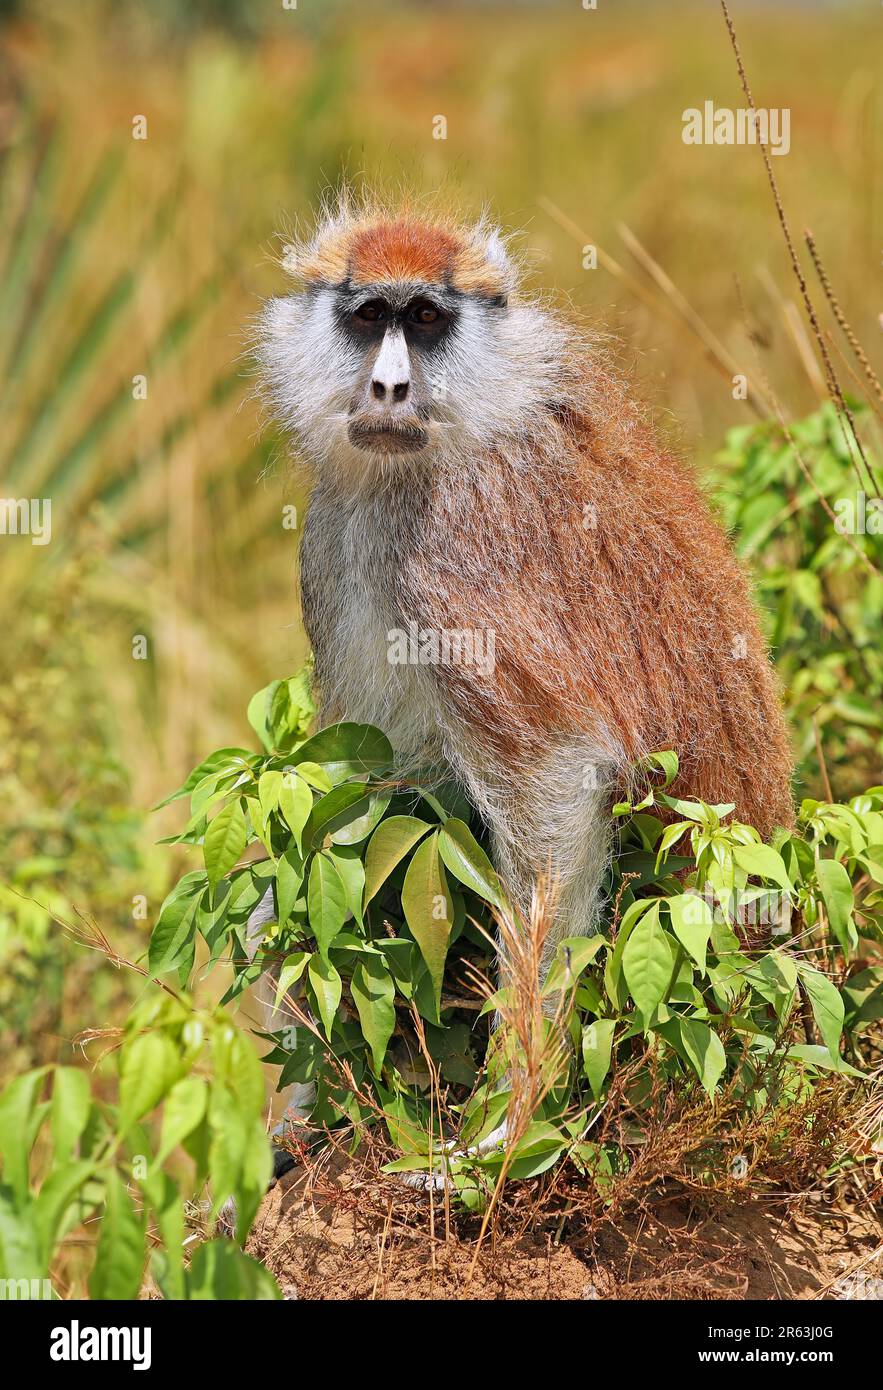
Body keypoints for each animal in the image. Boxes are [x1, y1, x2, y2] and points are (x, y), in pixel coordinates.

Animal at [252, 194, 793, 1160]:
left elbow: (554, 786)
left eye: (427, 320)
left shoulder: (457, 544)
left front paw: (511, 1117)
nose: (389, 389)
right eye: (369, 316)